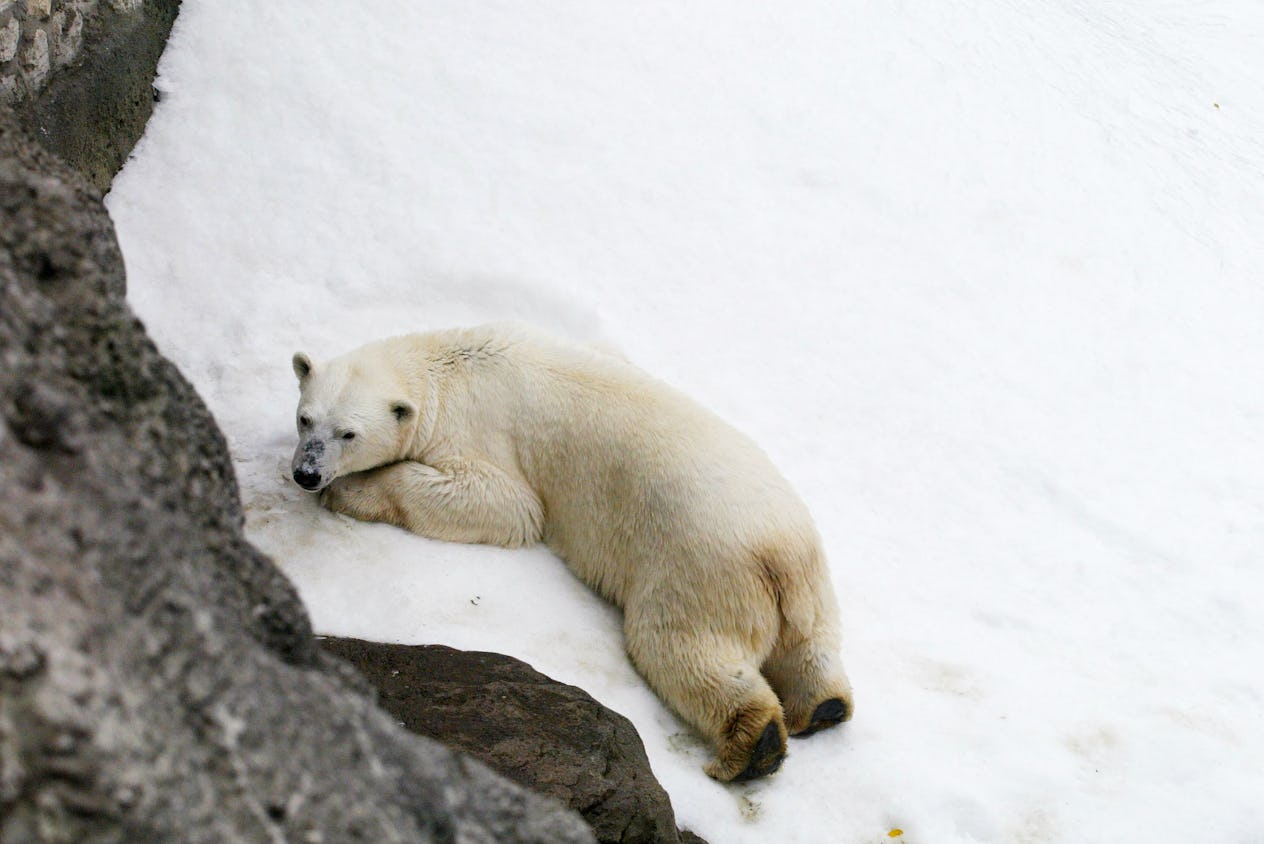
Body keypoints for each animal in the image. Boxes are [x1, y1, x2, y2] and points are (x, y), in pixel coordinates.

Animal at [289, 323, 853, 781]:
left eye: (348, 433)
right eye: (304, 419)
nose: (306, 473)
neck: (449, 366)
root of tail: (779, 557)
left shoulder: (480, 432)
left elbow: (506, 505)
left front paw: (350, 492)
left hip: (697, 569)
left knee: (677, 648)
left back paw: (751, 747)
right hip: (812, 583)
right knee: (813, 649)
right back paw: (823, 708)